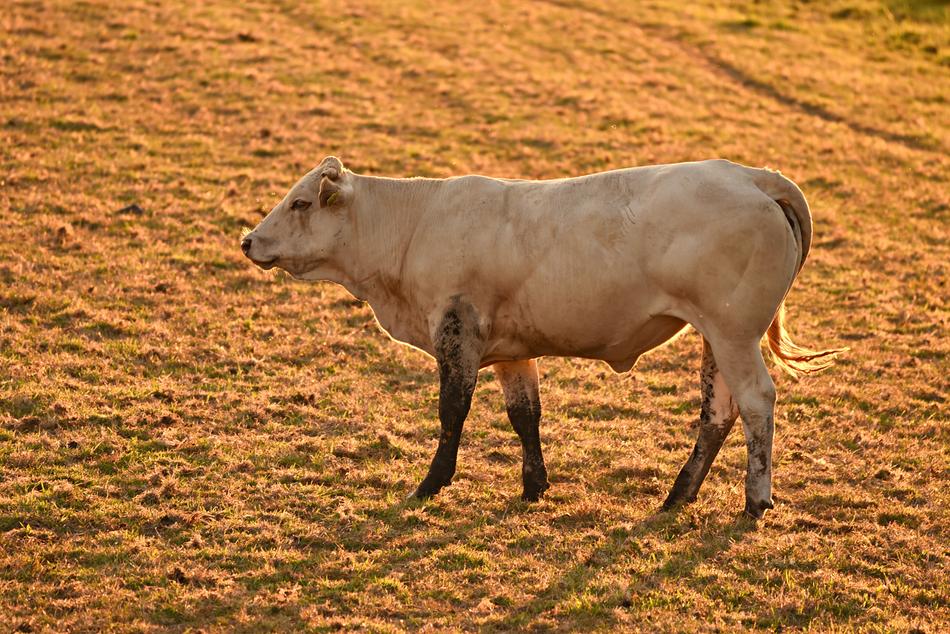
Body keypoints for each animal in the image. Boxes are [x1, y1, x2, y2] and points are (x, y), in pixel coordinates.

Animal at [241, 156, 842, 518]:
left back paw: (755, 500)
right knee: (718, 411)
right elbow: (524, 415)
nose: (248, 240)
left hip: (733, 332)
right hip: (716, 337)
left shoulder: (457, 330)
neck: (414, 225)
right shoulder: (512, 350)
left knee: (756, 402)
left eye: (300, 203)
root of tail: (751, 177)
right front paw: (534, 485)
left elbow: (452, 410)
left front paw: (431, 483)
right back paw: (679, 495)